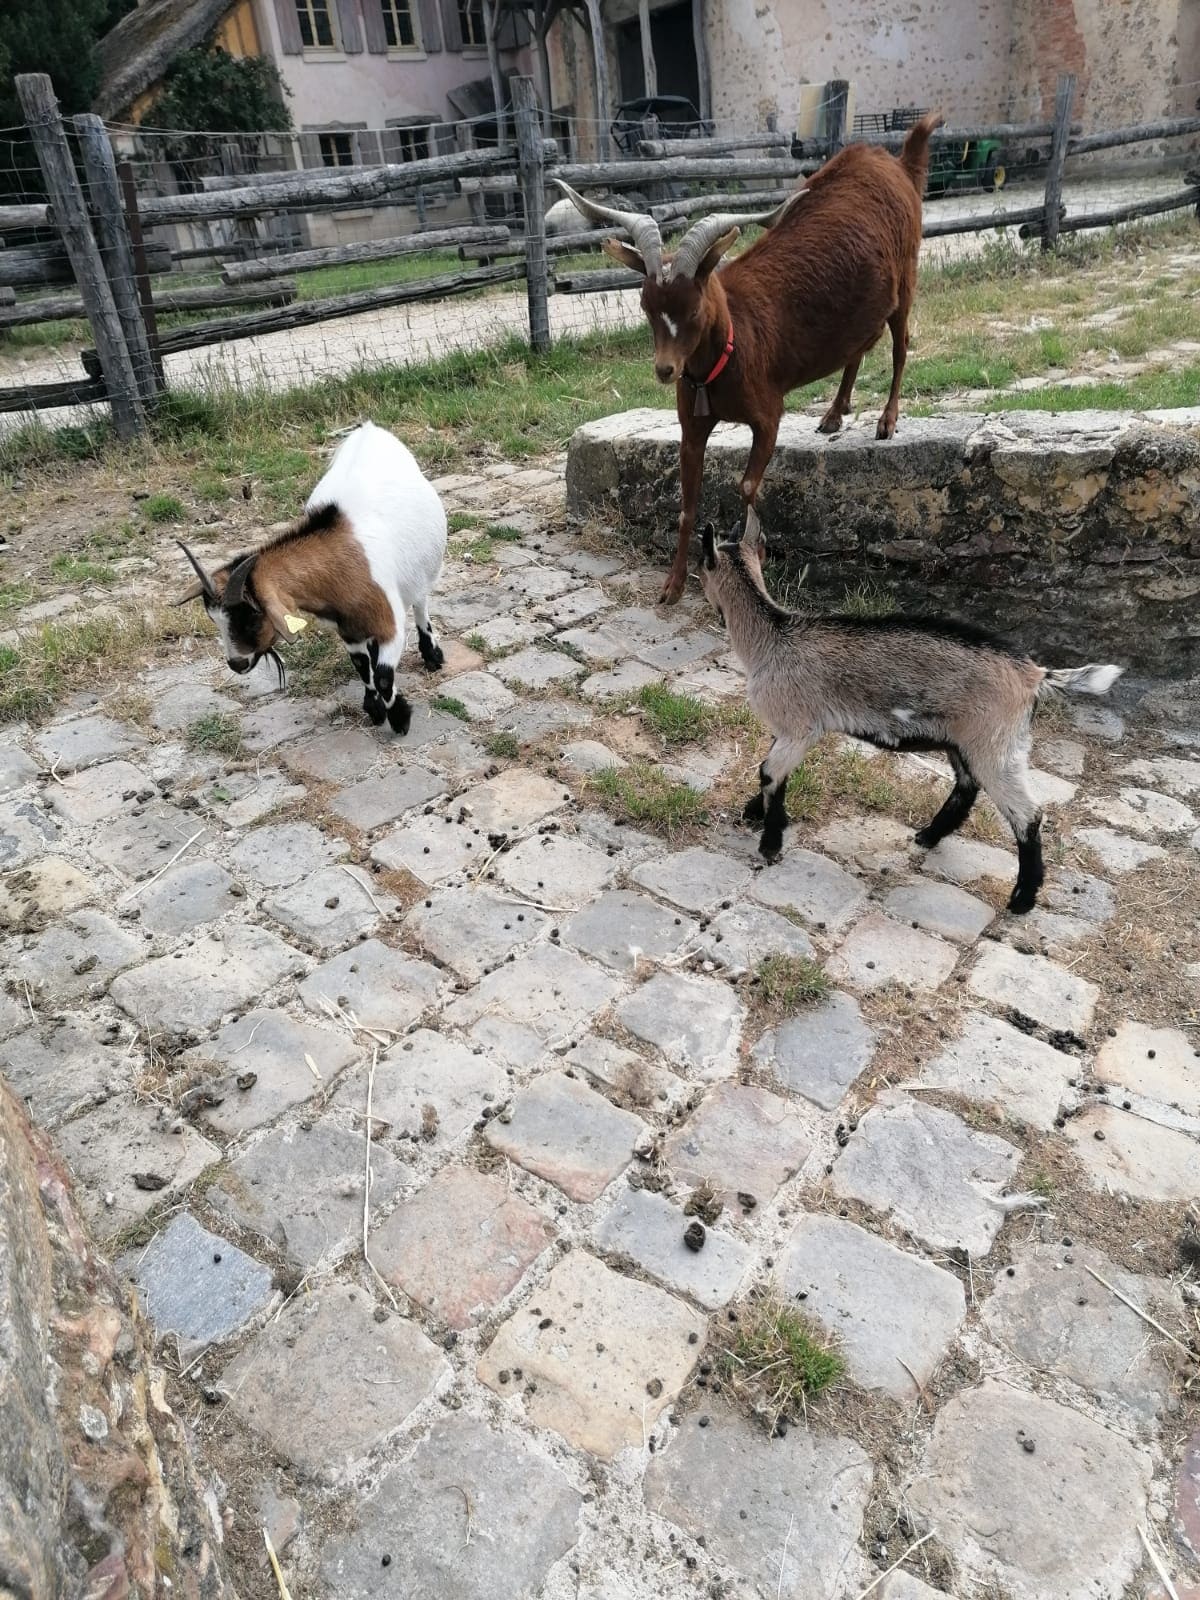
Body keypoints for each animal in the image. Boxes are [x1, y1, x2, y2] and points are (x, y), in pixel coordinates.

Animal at [174, 422, 446, 735]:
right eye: (214, 620)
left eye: (251, 619)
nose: (237, 664)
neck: (344, 564)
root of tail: (369, 429)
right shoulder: (348, 628)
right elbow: (361, 666)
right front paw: (375, 709)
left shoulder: (389, 624)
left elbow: (383, 676)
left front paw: (400, 718)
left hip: (423, 571)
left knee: (421, 602)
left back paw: (432, 655)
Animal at [555, 112, 942, 605]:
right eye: (644, 305)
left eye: (694, 309)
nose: (665, 369)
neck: (728, 352)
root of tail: (898, 162)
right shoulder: (692, 423)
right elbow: (687, 504)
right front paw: (673, 586)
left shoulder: (768, 413)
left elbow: (746, 486)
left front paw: (751, 560)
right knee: (859, 345)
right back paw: (834, 414)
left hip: (907, 274)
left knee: (899, 343)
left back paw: (887, 421)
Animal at [697, 520, 1123, 914]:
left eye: (700, 570)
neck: (773, 638)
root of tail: (1034, 675)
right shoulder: (786, 729)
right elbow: (773, 773)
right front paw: (754, 813)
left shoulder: (799, 728)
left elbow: (769, 774)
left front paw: (769, 842)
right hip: (966, 740)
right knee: (967, 786)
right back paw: (929, 837)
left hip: (995, 745)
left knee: (1027, 815)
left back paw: (1022, 898)